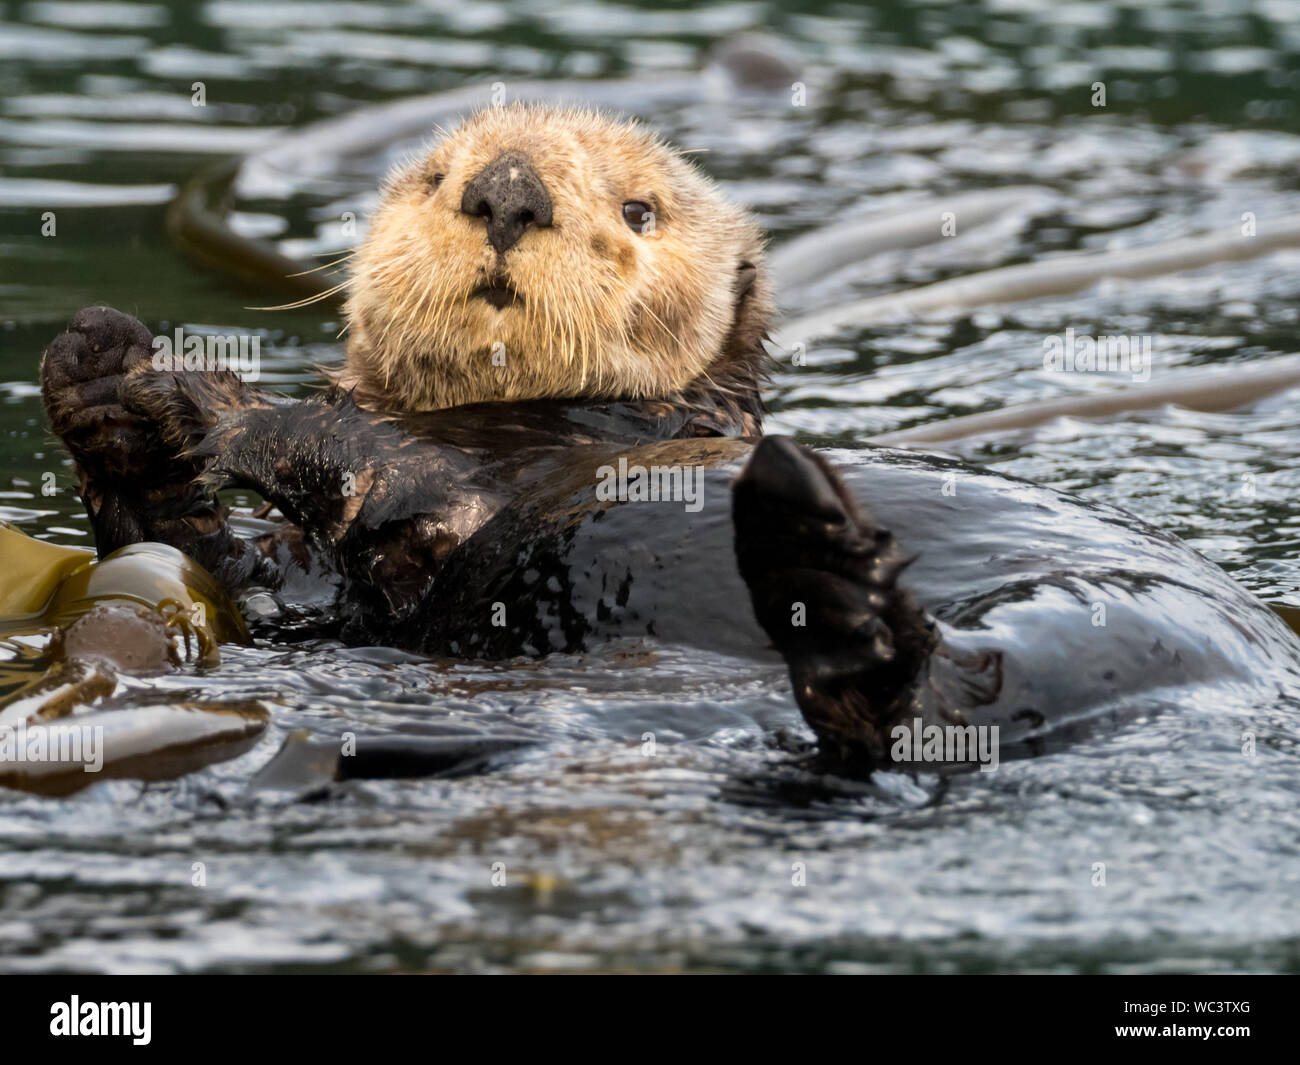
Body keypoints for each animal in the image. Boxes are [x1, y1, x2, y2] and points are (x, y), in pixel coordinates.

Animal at [40, 106, 1300, 772]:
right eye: (438, 175)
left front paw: (200, 394)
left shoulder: (475, 471)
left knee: (951, 691)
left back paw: (815, 546)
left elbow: (374, 457)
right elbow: (248, 577)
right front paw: (98, 372)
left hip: (1116, 616)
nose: (505, 192)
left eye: (638, 208)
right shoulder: (349, 595)